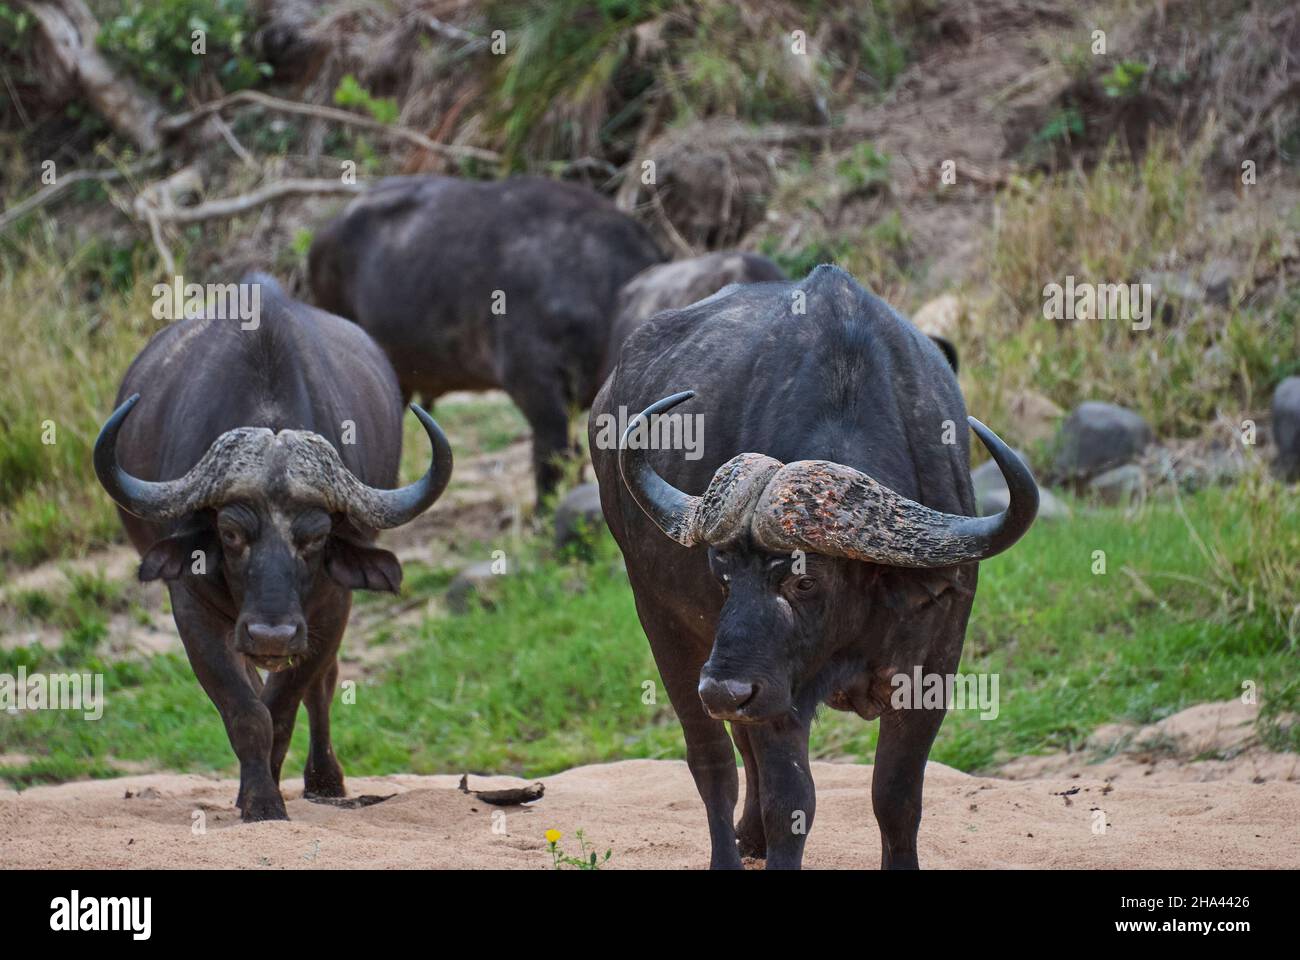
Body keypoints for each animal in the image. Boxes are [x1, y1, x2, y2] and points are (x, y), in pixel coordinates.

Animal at [94, 274, 452, 821]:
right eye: (230, 533)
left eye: (316, 537)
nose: (272, 636)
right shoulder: (193, 609)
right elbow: (247, 713)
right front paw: (258, 800)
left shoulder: (331, 607)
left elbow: (283, 708)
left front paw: (272, 795)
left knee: (322, 687)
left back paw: (326, 781)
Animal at [591, 265, 1037, 869]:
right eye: (723, 574)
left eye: (805, 580)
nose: (723, 691)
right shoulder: (774, 690)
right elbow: (791, 803)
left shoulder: (933, 668)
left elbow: (896, 797)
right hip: (668, 627)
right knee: (713, 762)